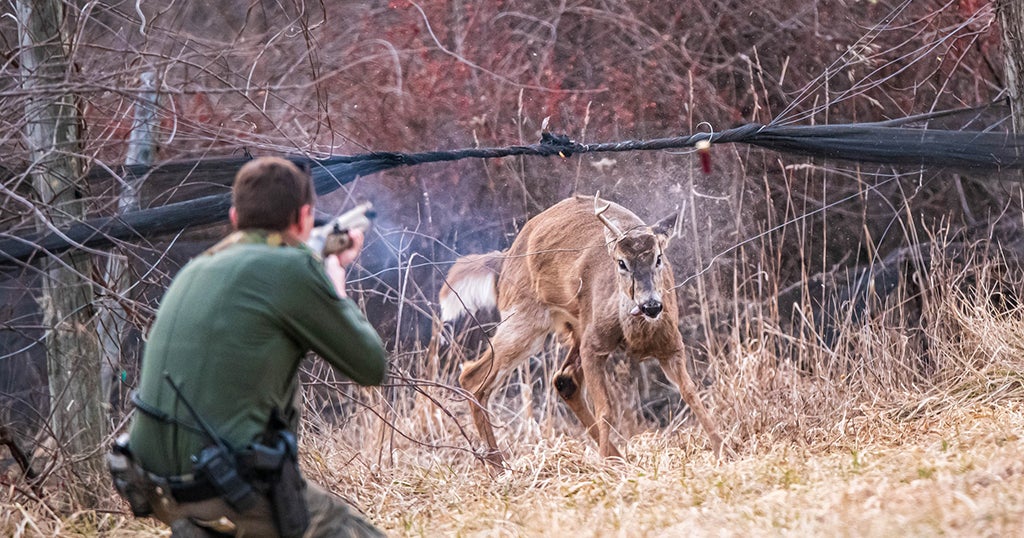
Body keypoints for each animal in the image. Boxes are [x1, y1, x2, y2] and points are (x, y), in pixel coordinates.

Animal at [438, 193, 724, 464]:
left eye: (658, 259)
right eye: (621, 263)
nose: (651, 305)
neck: (635, 336)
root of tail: (506, 258)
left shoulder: (671, 344)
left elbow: (691, 392)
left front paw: (723, 449)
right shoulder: (593, 345)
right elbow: (605, 410)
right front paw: (604, 466)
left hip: (573, 325)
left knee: (564, 380)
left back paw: (617, 459)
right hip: (525, 317)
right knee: (472, 376)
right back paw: (499, 468)